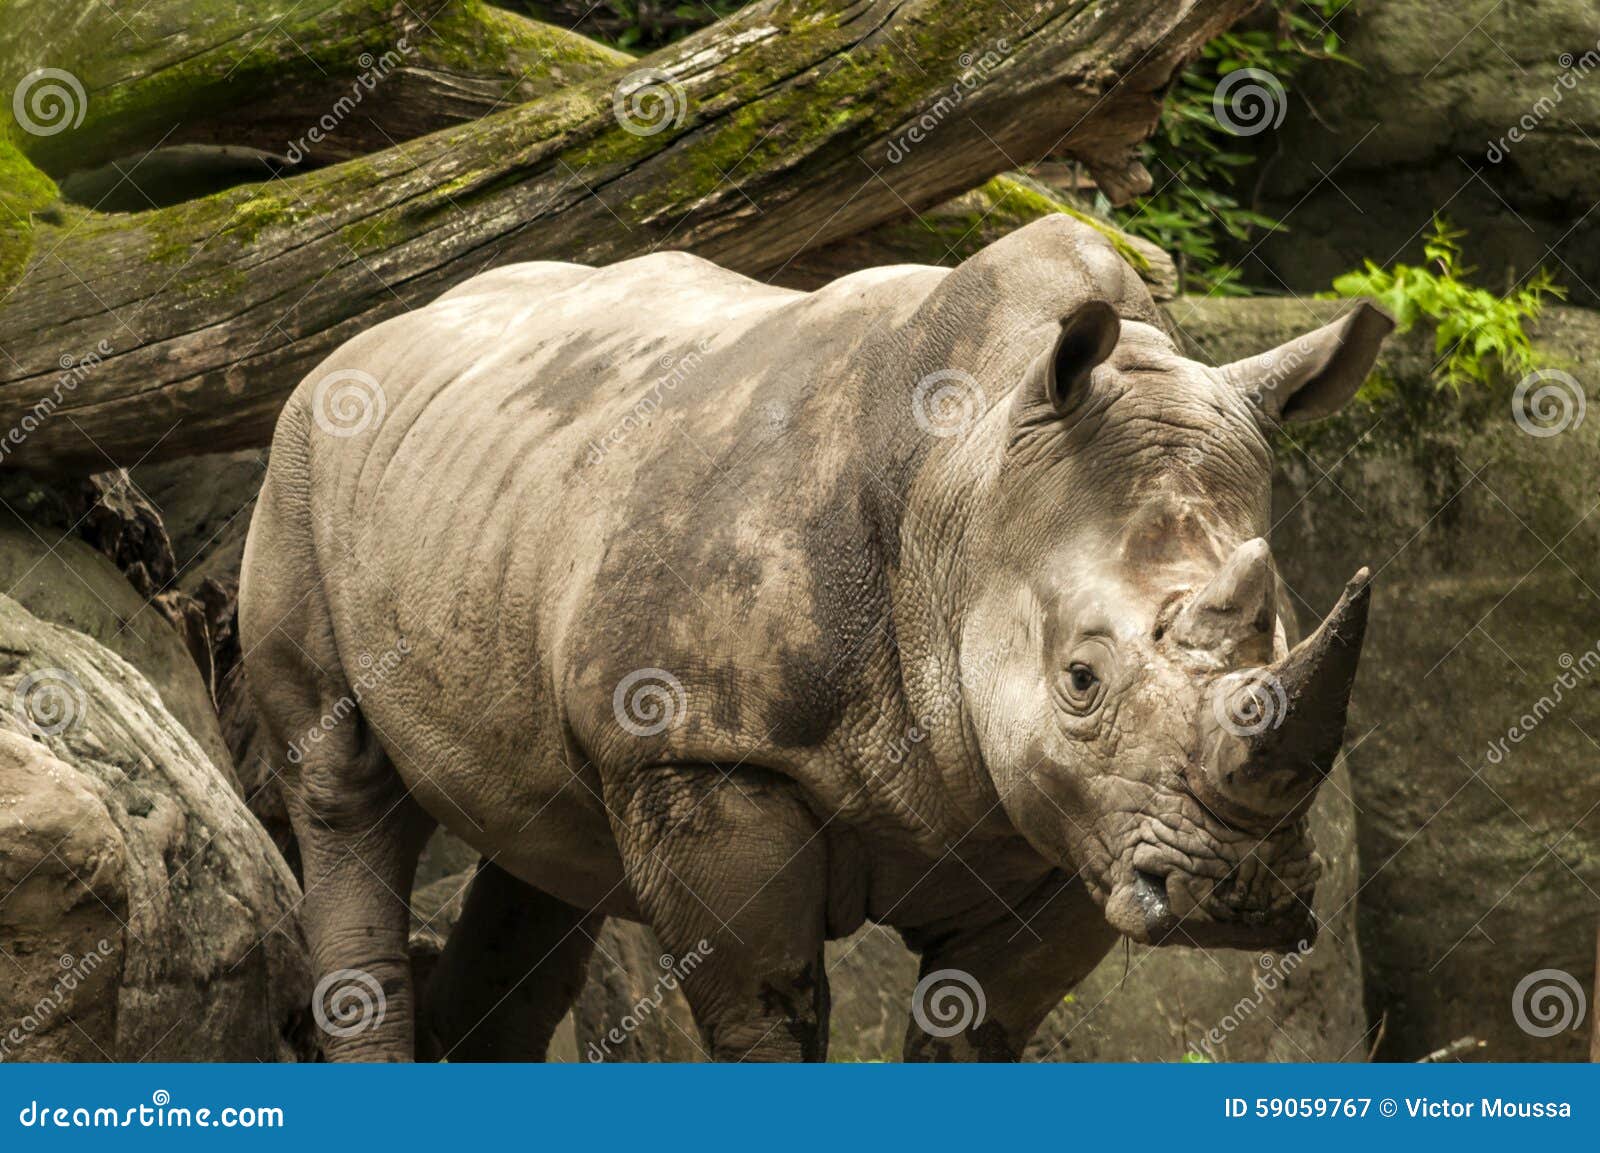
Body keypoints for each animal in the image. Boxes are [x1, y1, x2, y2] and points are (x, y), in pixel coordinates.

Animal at [239, 215, 1390, 1062]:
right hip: (299, 463)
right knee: (342, 788)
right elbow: (770, 1013)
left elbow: (977, 1029)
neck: (968, 497)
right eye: (1080, 678)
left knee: (541, 844)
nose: (1242, 895)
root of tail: (381, 332)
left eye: (1282, 634)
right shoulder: (699, 746)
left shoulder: (1066, 819)